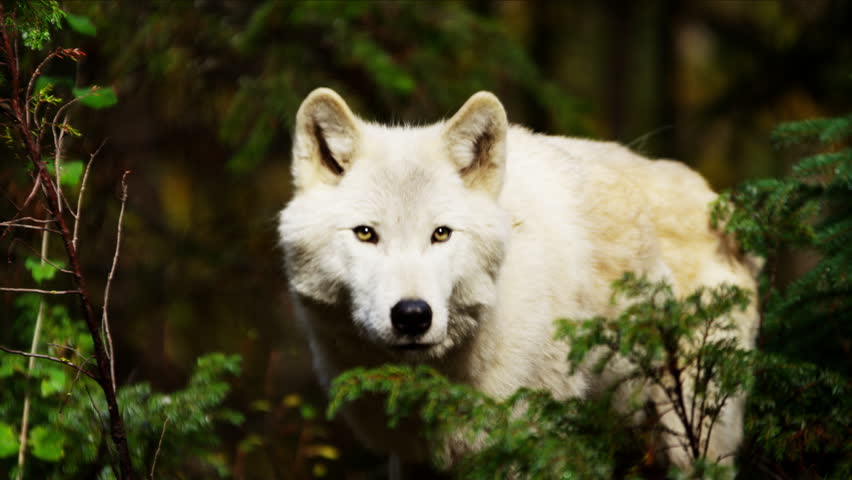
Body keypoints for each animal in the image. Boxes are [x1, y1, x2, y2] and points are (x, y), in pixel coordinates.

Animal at [278, 88, 760, 475]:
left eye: (441, 233)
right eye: (365, 233)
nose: (413, 316)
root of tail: (717, 202)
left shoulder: (533, 446)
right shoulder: (416, 458)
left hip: (693, 435)